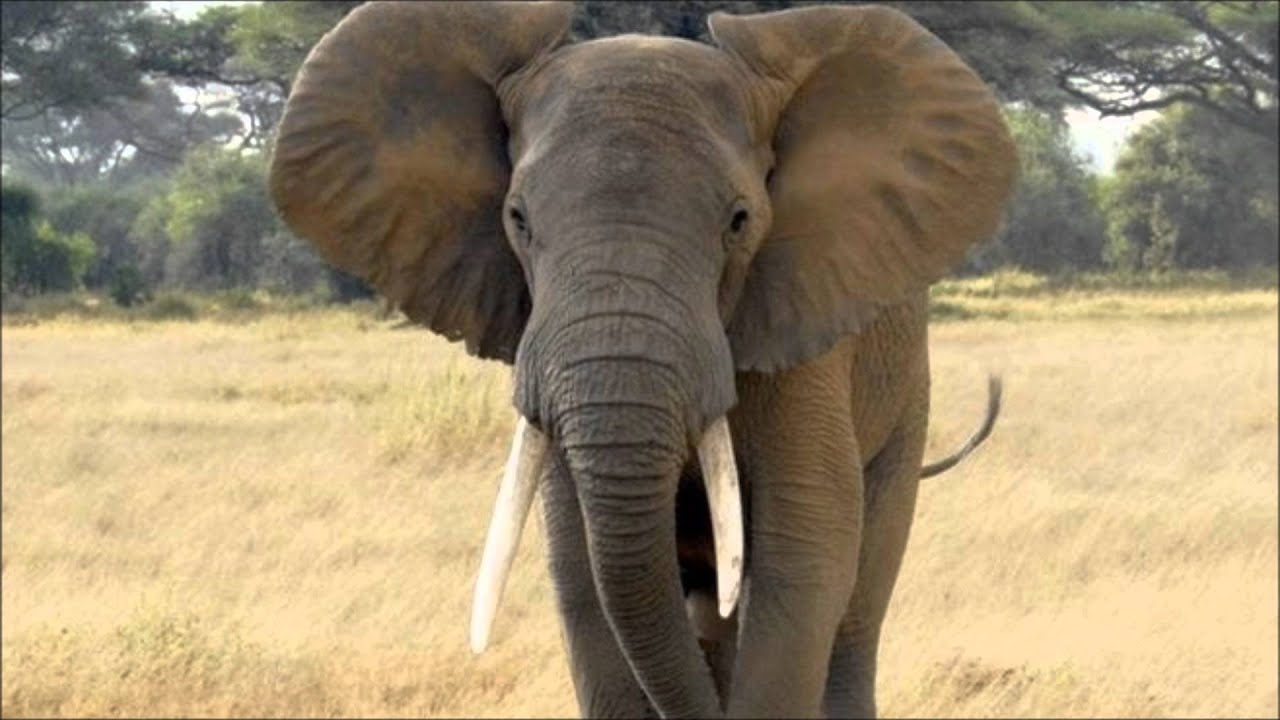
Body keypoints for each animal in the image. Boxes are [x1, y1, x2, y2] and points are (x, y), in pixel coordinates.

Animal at [268, 2, 1016, 717]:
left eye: (740, 221)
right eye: (517, 219)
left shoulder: (805, 345)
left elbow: (804, 560)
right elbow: (582, 577)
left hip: (904, 408)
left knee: (855, 612)